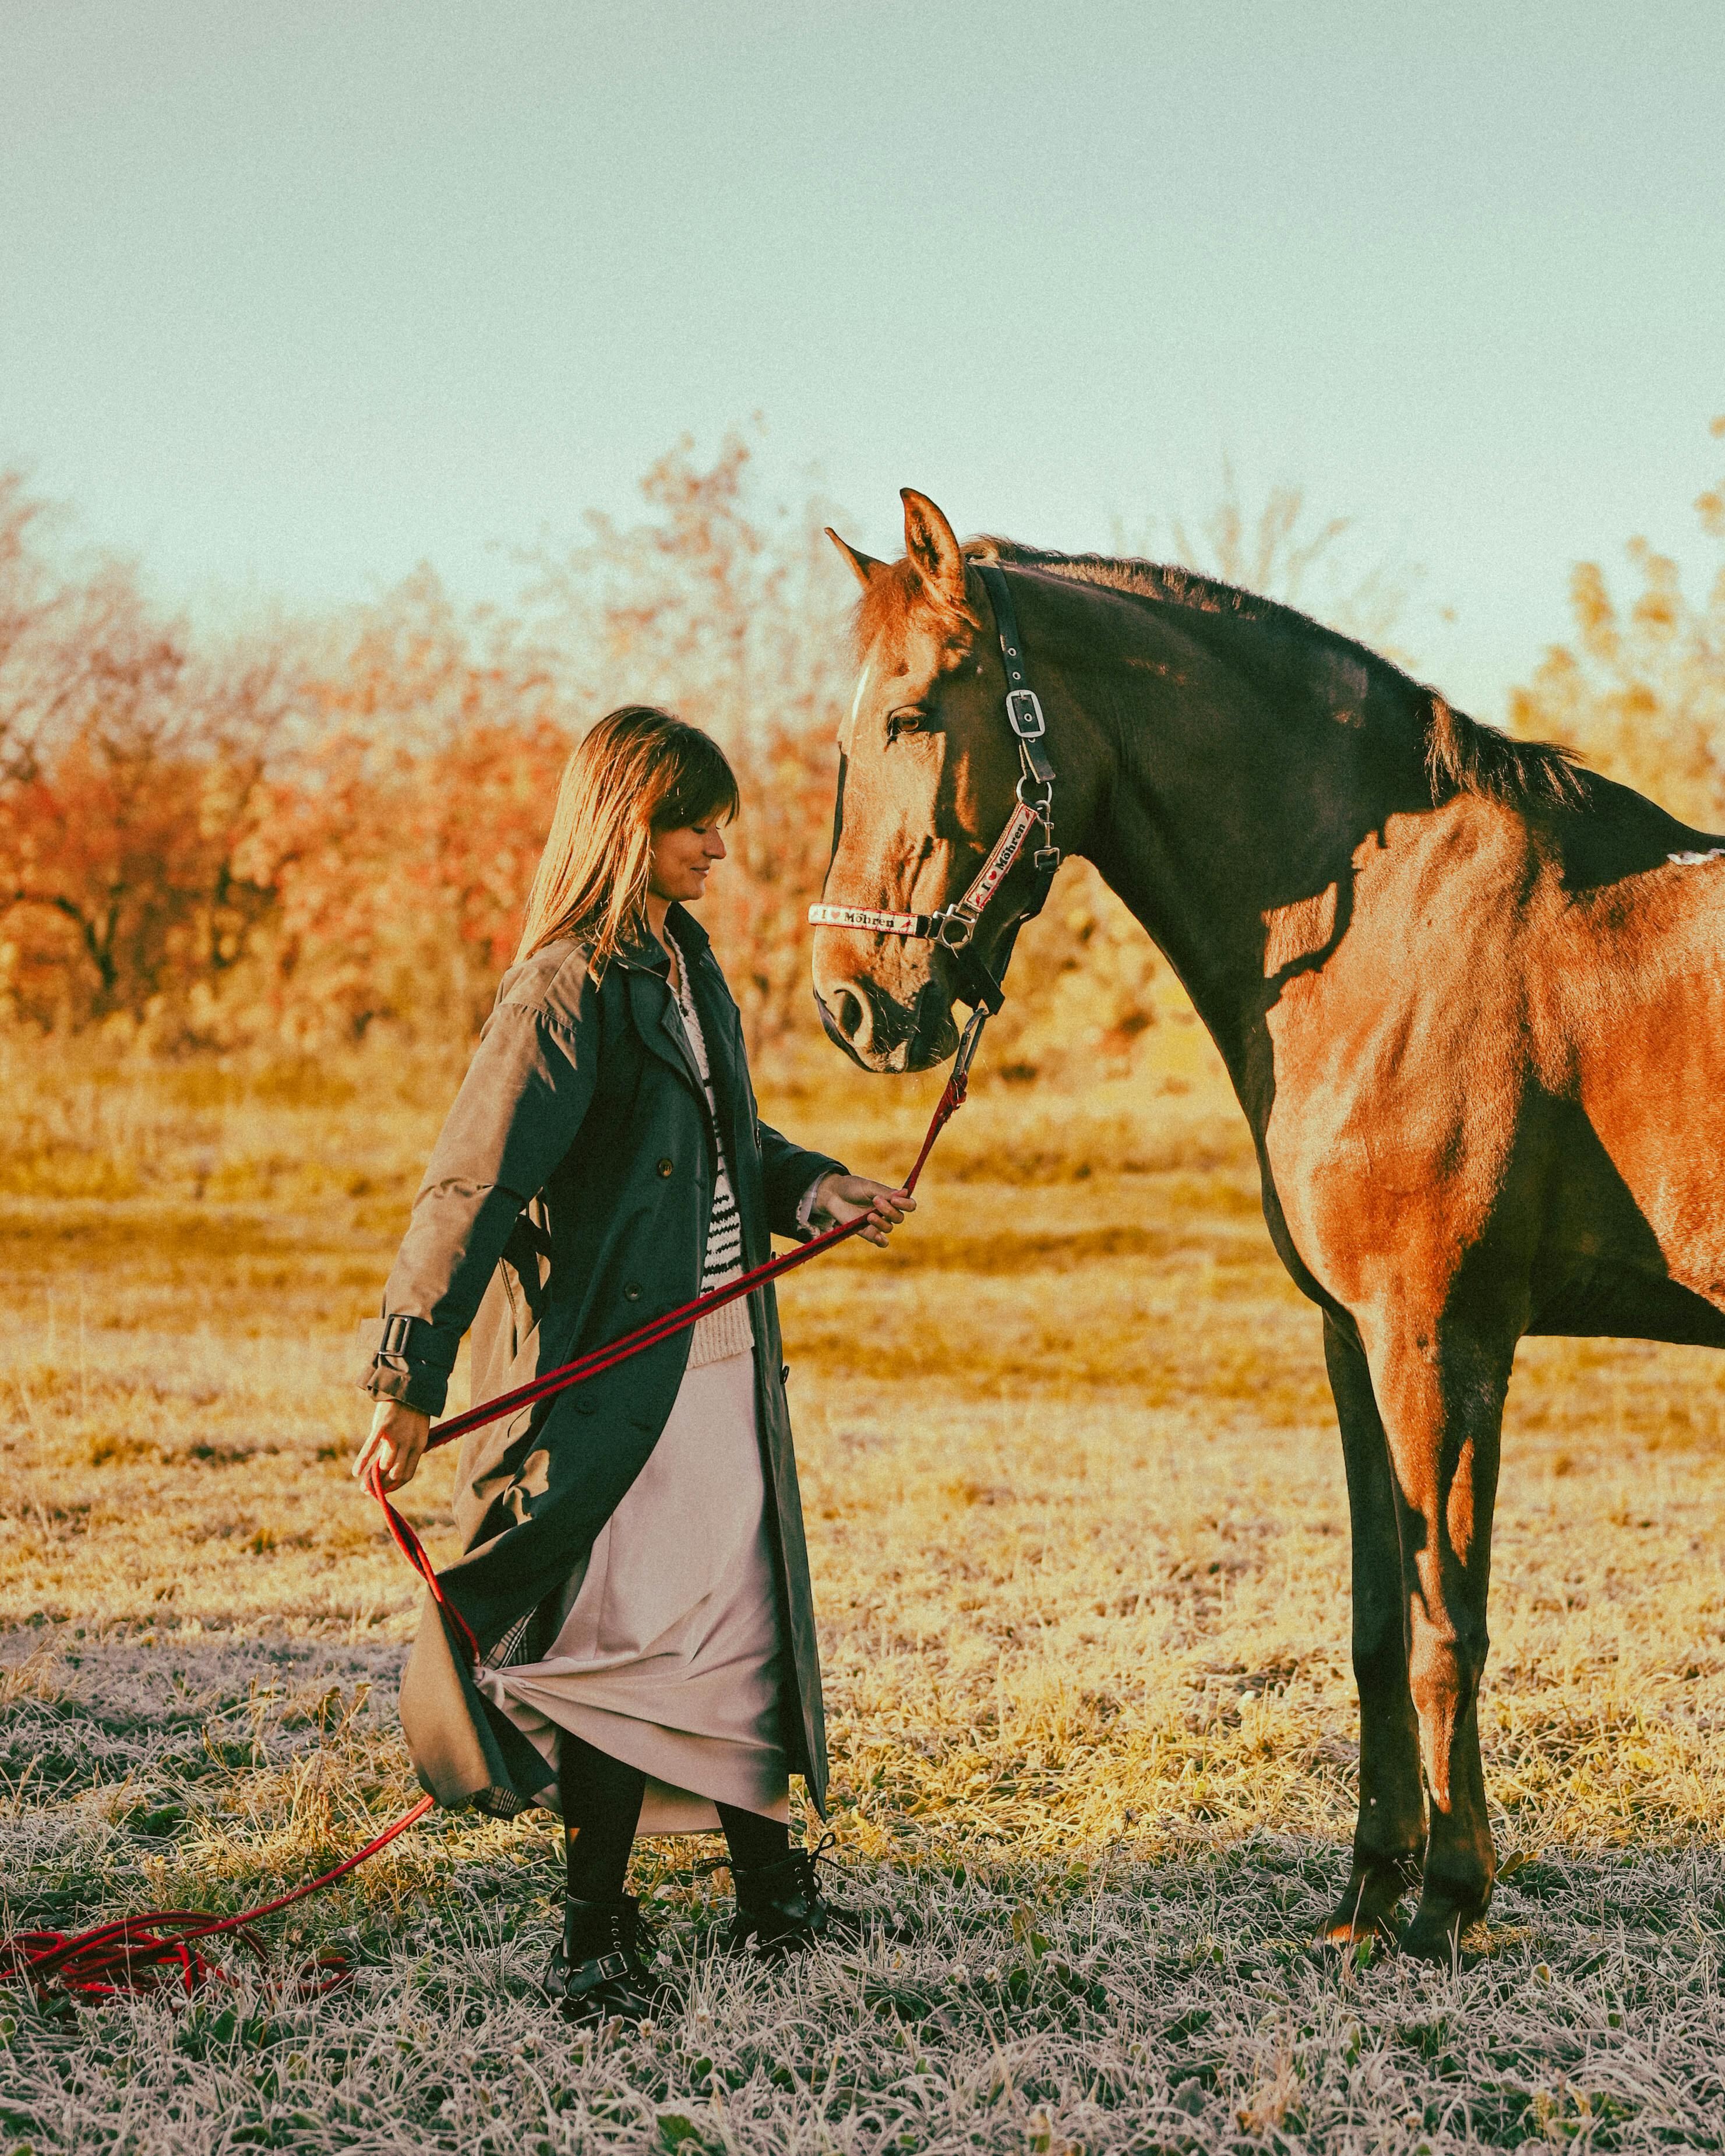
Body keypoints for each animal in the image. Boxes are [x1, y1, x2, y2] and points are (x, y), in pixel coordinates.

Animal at [809, 488, 1725, 1960]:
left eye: (906, 716)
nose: (849, 1002)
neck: (1396, 937)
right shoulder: (1352, 1342)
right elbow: (1375, 1622)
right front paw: (1367, 1892)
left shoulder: (1441, 1341)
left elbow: (1448, 1623)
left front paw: (1450, 1899)